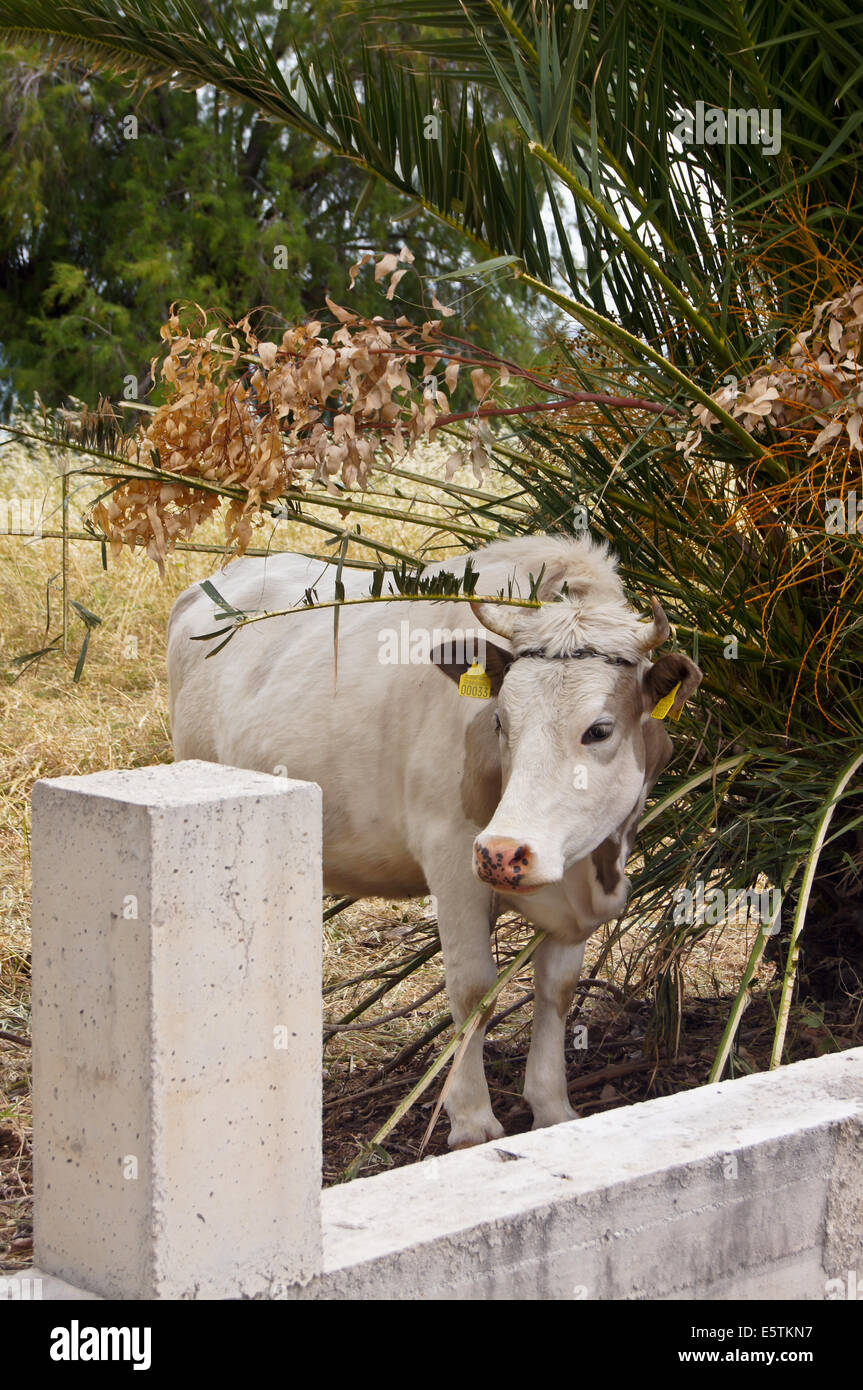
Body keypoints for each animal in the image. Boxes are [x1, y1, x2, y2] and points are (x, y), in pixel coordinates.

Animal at [167, 534, 701, 1149]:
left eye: (599, 729)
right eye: (500, 722)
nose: (503, 853)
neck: (590, 874)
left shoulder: (573, 887)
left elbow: (558, 989)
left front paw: (552, 1107)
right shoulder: (454, 858)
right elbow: (472, 990)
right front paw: (471, 1121)